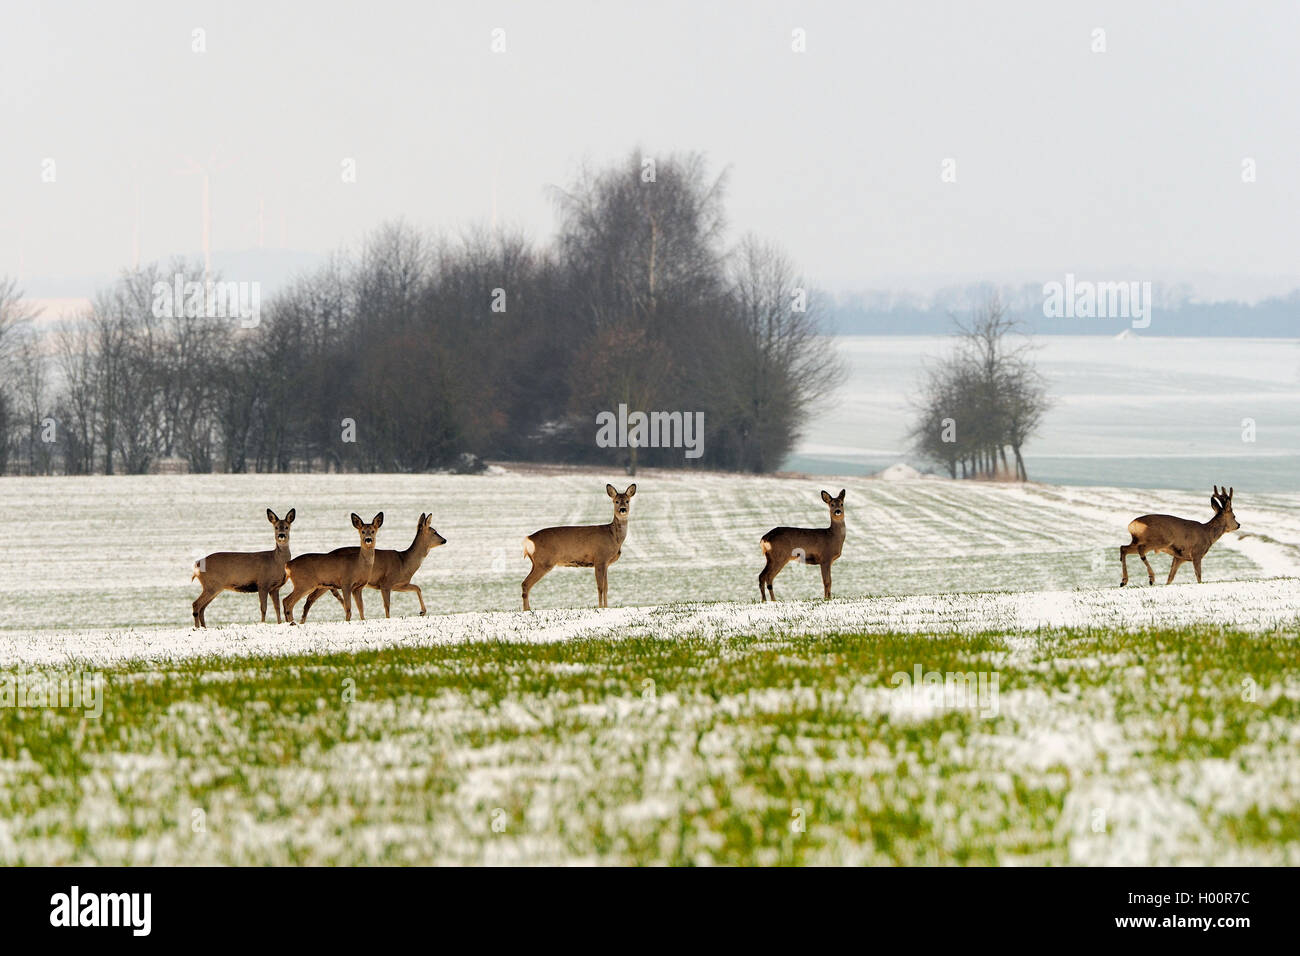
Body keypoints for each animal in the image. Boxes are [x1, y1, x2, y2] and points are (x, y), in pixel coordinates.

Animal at [298, 513, 447, 621]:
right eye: (434, 531)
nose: (444, 540)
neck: (404, 562)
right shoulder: (386, 583)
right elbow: (387, 606)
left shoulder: (399, 584)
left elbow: (417, 587)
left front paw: (422, 611)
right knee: (309, 599)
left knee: (309, 599)